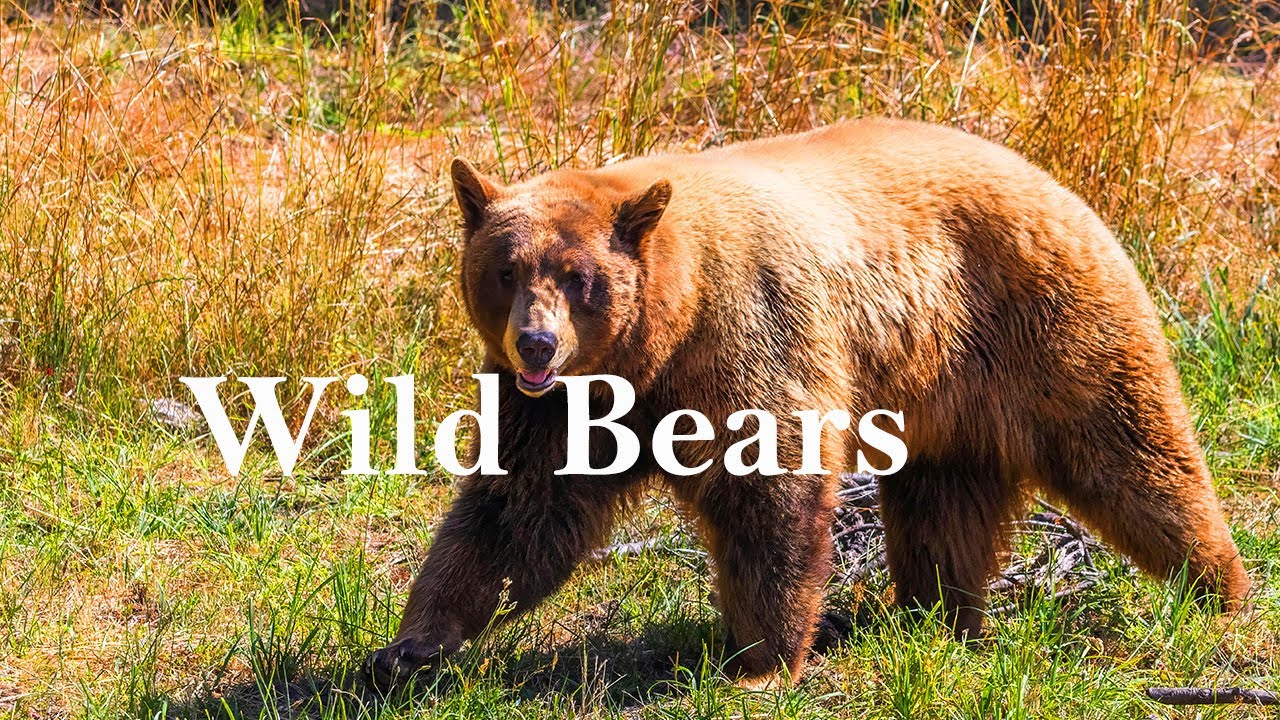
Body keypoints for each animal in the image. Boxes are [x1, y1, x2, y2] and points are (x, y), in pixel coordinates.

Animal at [365, 118, 1250, 689]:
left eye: (578, 277)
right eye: (506, 269)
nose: (538, 345)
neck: (666, 333)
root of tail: (1049, 175)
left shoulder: (745, 336)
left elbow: (770, 485)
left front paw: (762, 661)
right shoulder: (575, 407)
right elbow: (518, 506)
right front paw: (411, 646)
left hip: (1048, 319)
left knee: (1132, 451)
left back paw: (1219, 591)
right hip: (942, 396)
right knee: (942, 509)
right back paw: (937, 614)